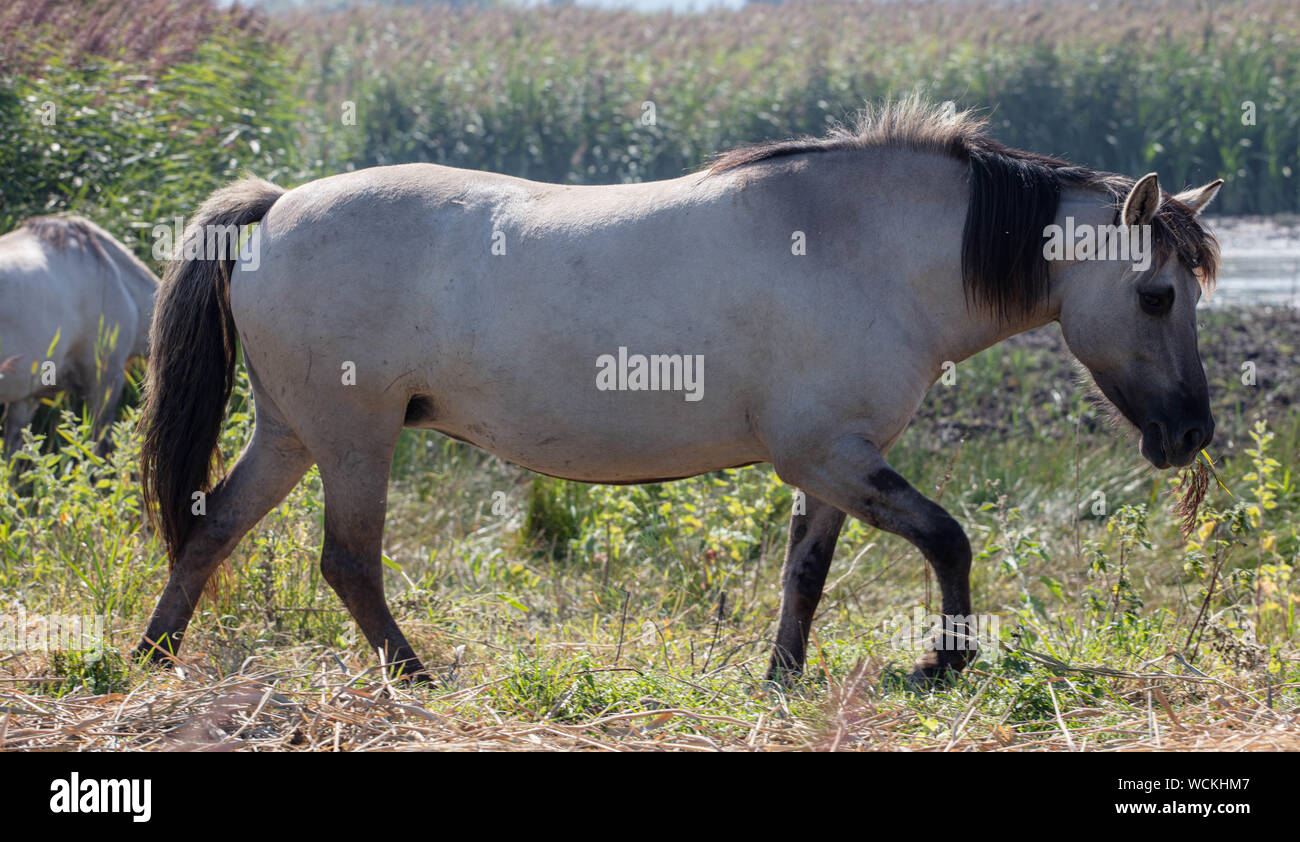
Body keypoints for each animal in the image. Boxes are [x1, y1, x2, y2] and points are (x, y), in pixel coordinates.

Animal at [135, 99, 1222, 685]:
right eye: (1156, 292)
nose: (1191, 434)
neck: (859, 246)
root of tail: (278, 205)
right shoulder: (828, 452)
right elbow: (947, 537)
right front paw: (942, 659)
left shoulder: (831, 461)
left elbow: (804, 574)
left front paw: (781, 678)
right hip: (354, 439)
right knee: (348, 562)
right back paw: (414, 675)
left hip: (292, 433)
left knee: (212, 527)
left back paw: (152, 656)